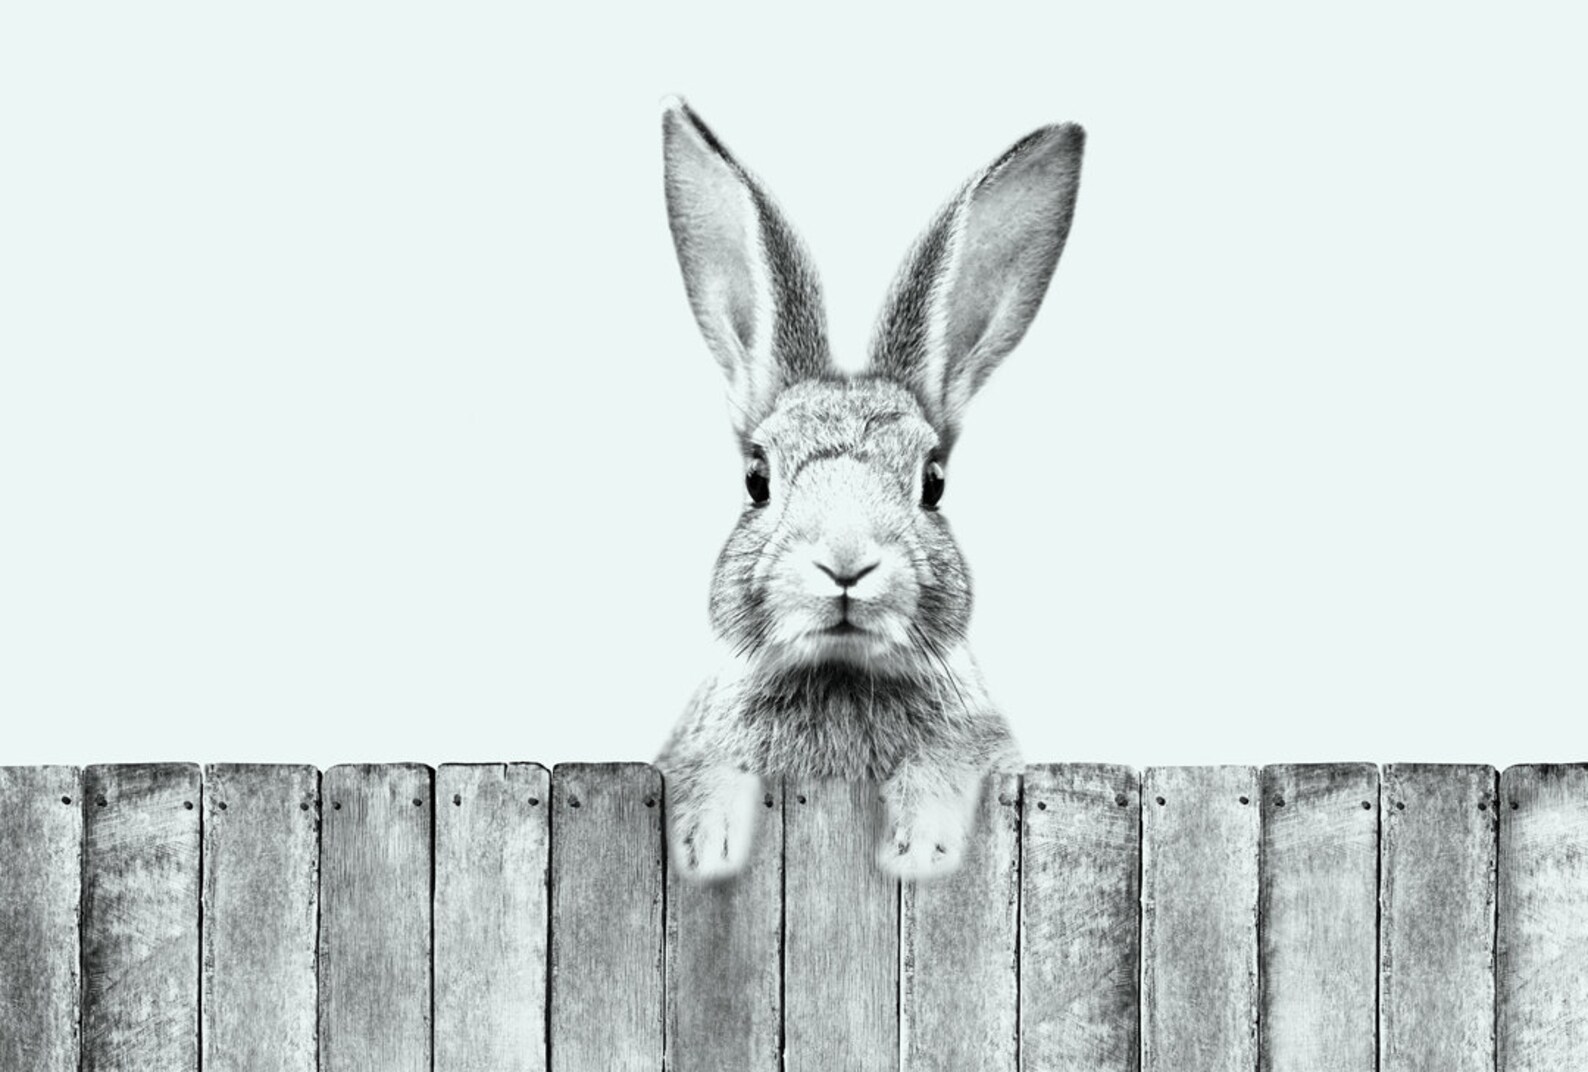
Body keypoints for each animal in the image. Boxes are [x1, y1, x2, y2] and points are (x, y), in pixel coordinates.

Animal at [655, 96, 1084, 882]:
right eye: (757, 479)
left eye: (934, 484)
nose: (846, 564)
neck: (841, 675)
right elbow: (708, 768)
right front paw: (705, 841)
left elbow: (944, 764)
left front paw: (922, 845)